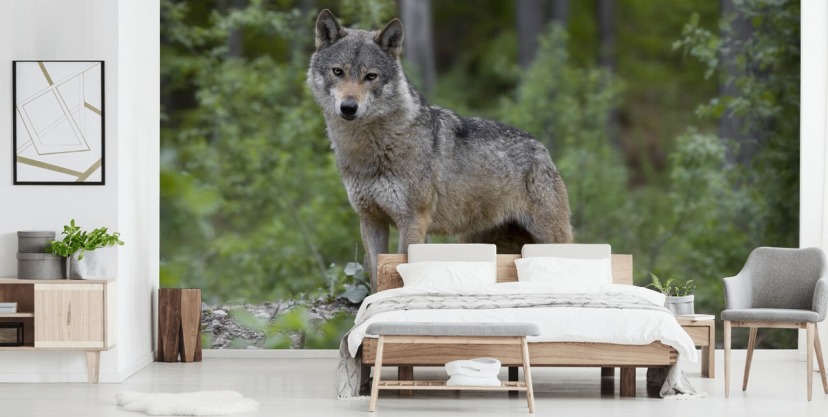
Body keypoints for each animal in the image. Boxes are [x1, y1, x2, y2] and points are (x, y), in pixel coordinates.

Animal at [307, 10, 572, 289]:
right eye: (338, 72)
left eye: (371, 76)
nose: (348, 107)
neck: (371, 151)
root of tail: (542, 149)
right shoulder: (370, 220)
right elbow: (376, 278)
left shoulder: (413, 221)